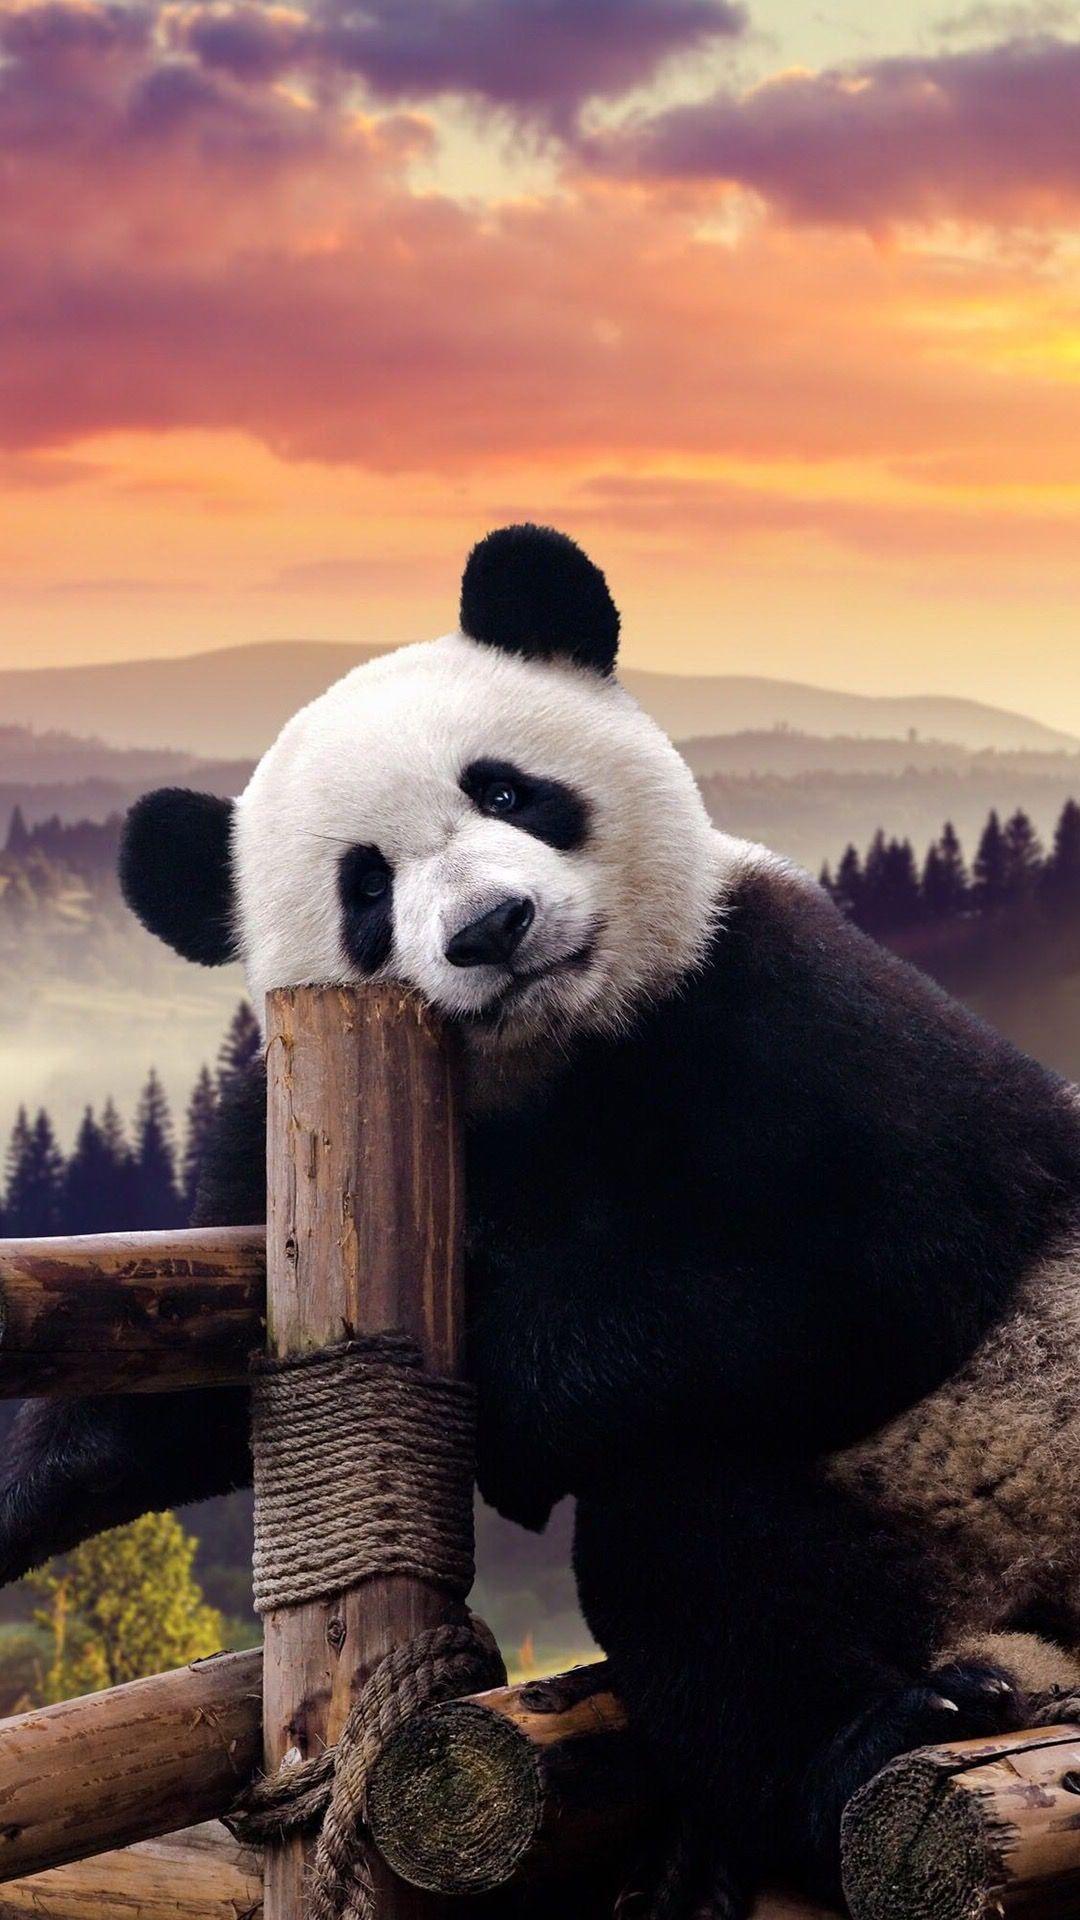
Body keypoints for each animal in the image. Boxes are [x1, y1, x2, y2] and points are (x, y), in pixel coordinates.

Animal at [4, 523, 1080, 1912]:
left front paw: (510, 1393)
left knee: (684, 1517)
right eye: (365, 888)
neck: (547, 1056)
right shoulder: (283, 1122)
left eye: (509, 792)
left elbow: (888, 1241)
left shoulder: (780, 995)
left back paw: (876, 1740)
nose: (490, 926)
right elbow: (171, 1386)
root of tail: (1025, 1627)